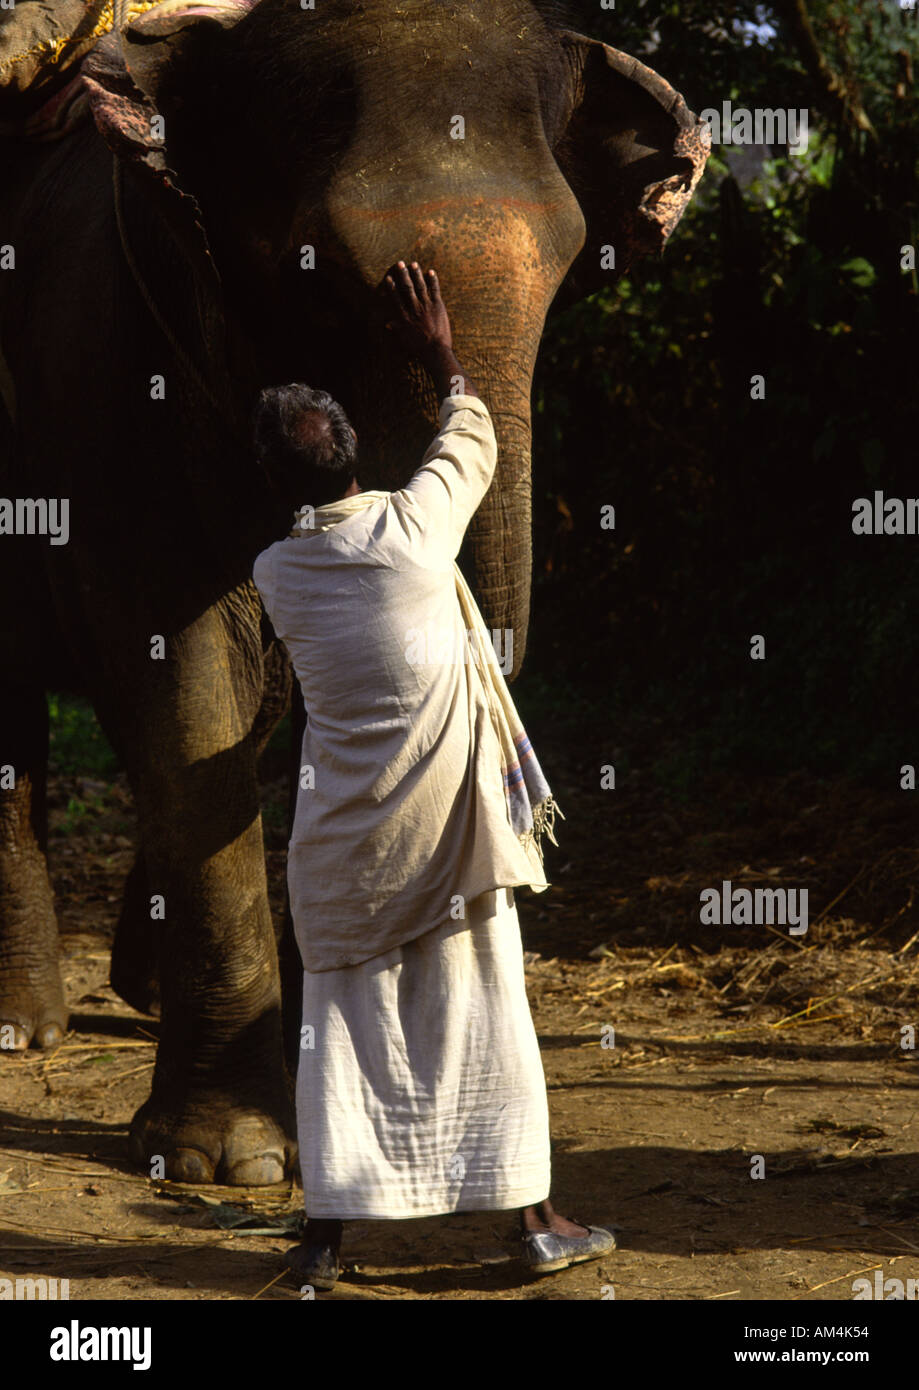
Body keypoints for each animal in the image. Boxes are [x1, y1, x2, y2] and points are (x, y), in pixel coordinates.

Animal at [0, 0, 707, 1184]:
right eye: (314, 267)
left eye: (572, 259)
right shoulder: (100, 360)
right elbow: (174, 663)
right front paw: (231, 1158)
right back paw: (24, 1027)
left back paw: (133, 993)